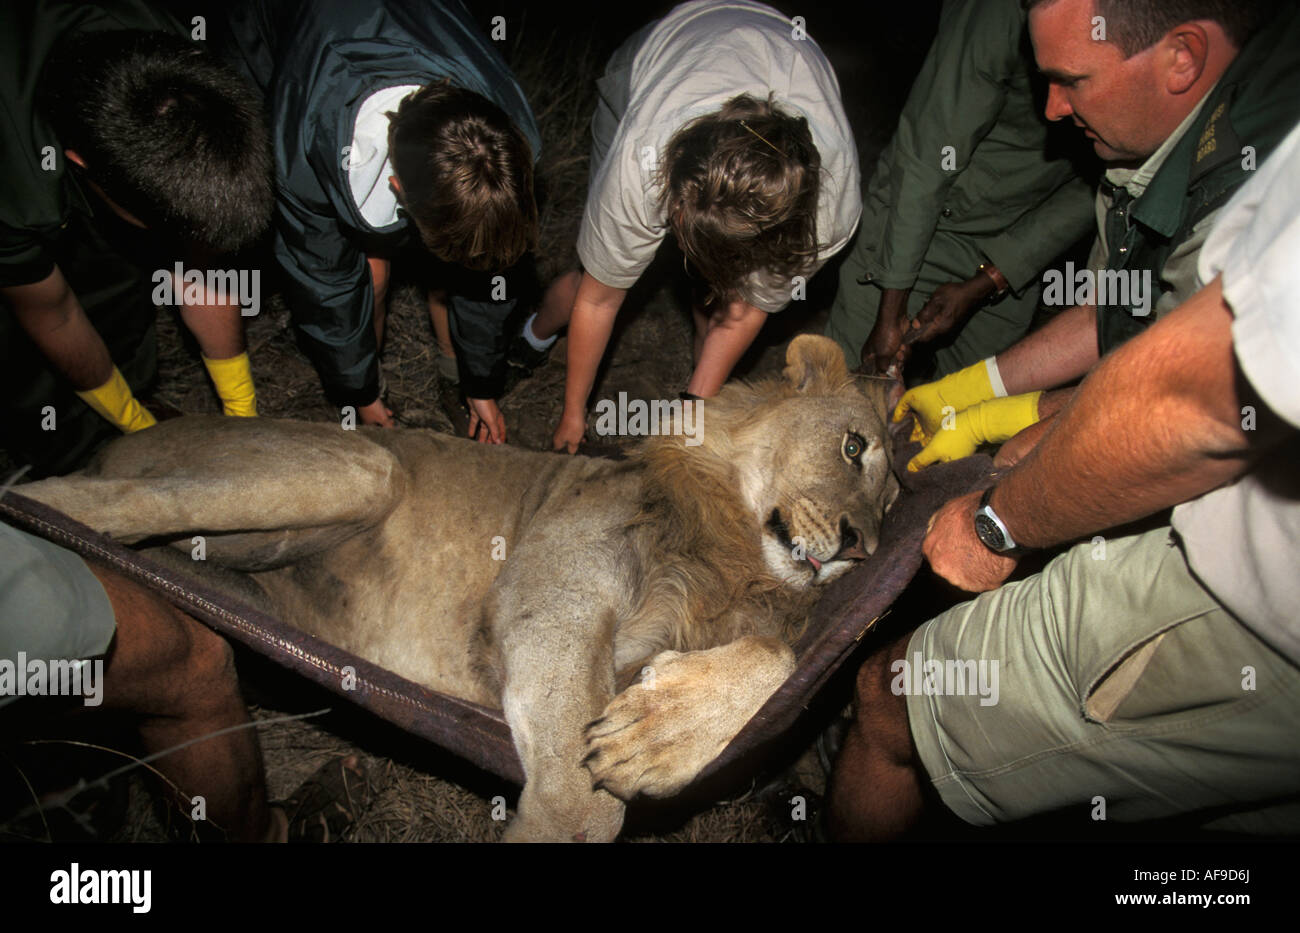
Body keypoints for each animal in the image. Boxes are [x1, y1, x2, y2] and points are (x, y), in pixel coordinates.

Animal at [20, 335, 899, 841]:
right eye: (852, 446)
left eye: (893, 507)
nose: (862, 545)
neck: (732, 552)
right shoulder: (549, 591)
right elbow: (582, 802)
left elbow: (777, 657)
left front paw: (665, 729)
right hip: (358, 464)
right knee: (101, 500)